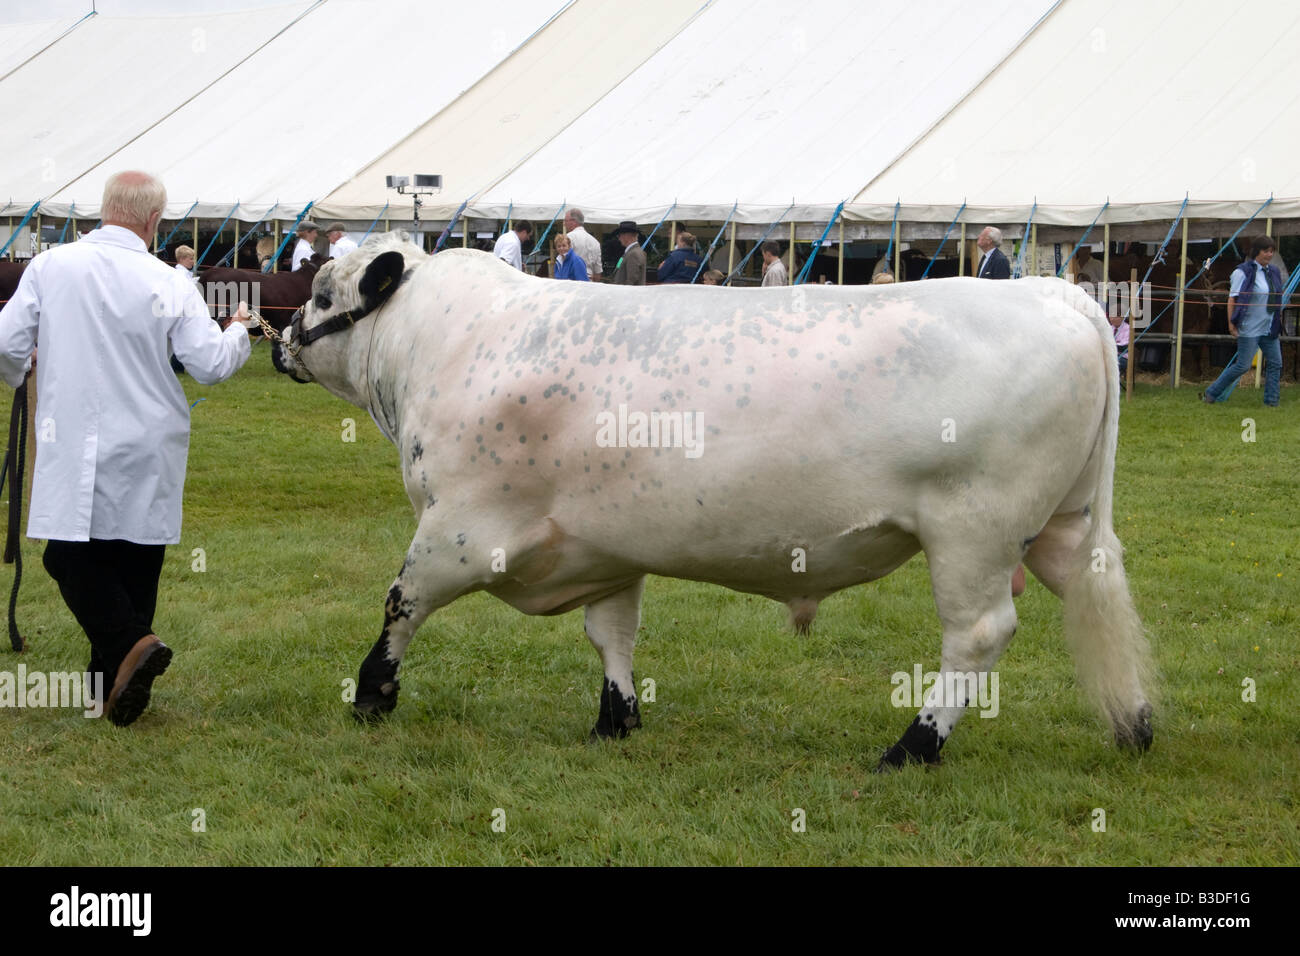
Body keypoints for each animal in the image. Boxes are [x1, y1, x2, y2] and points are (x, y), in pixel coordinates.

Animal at [271, 233, 1154, 769]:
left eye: (321, 291)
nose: (278, 343)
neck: (445, 343)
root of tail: (1056, 295)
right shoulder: (605, 541)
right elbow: (612, 635)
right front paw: (616, 720)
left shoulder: (461, 525)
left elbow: (401, 603)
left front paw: (372, 695)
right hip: (1058, 524)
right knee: (1098, 595)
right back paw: (1135, 722)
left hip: (972, 530)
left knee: (976, 638)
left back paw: (912, 747)